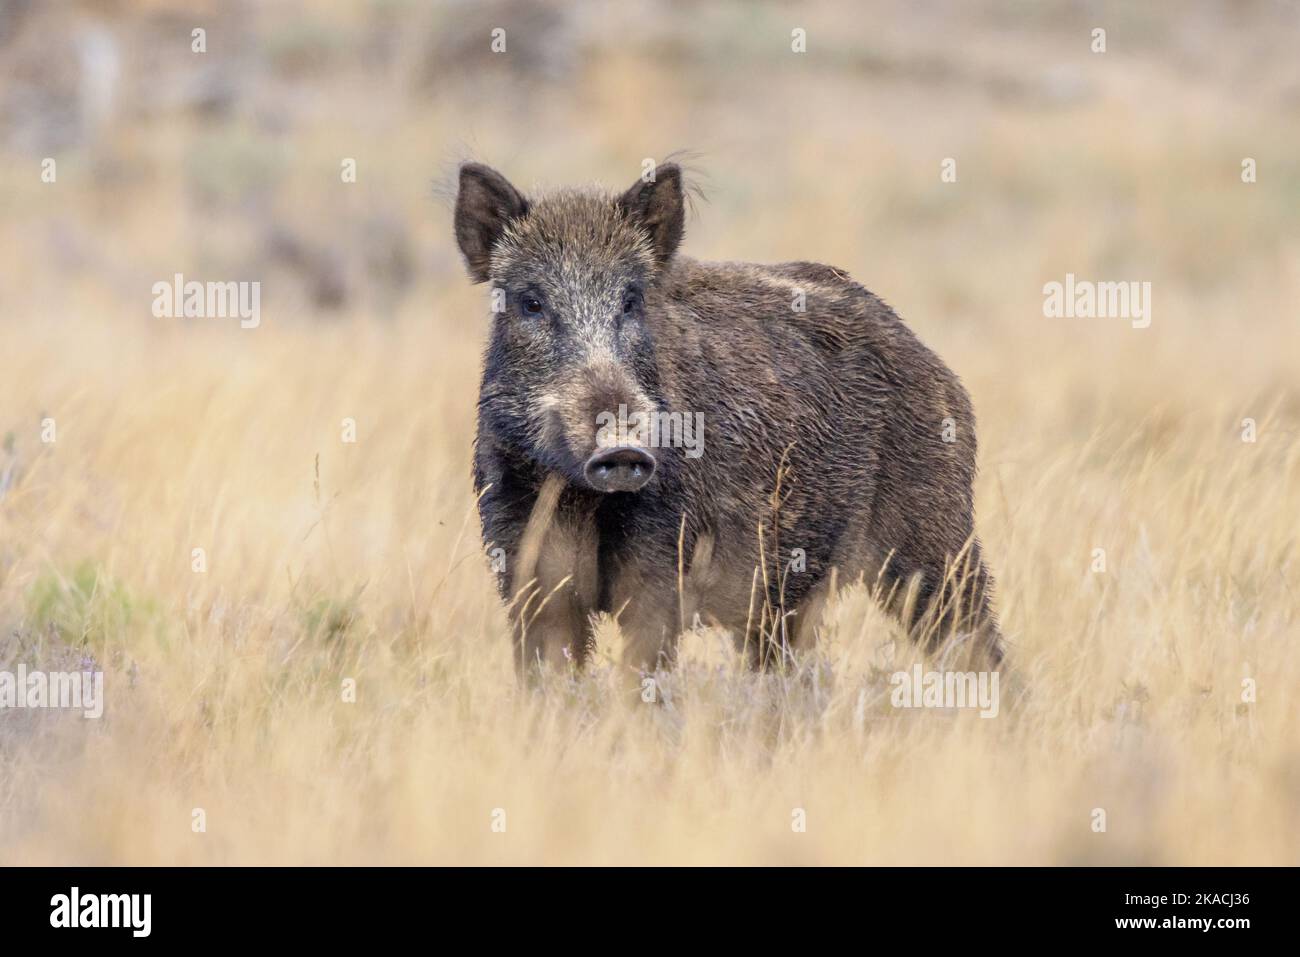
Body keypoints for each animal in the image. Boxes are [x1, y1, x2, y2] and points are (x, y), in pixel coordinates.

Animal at [454, 161, 1003, 678]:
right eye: (531, 302)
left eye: (631, 300)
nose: (621, 447)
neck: (580, 498)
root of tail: (940, 372)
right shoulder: (523, 570)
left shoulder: (662, 569)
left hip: (936, 539)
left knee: (978, 641)